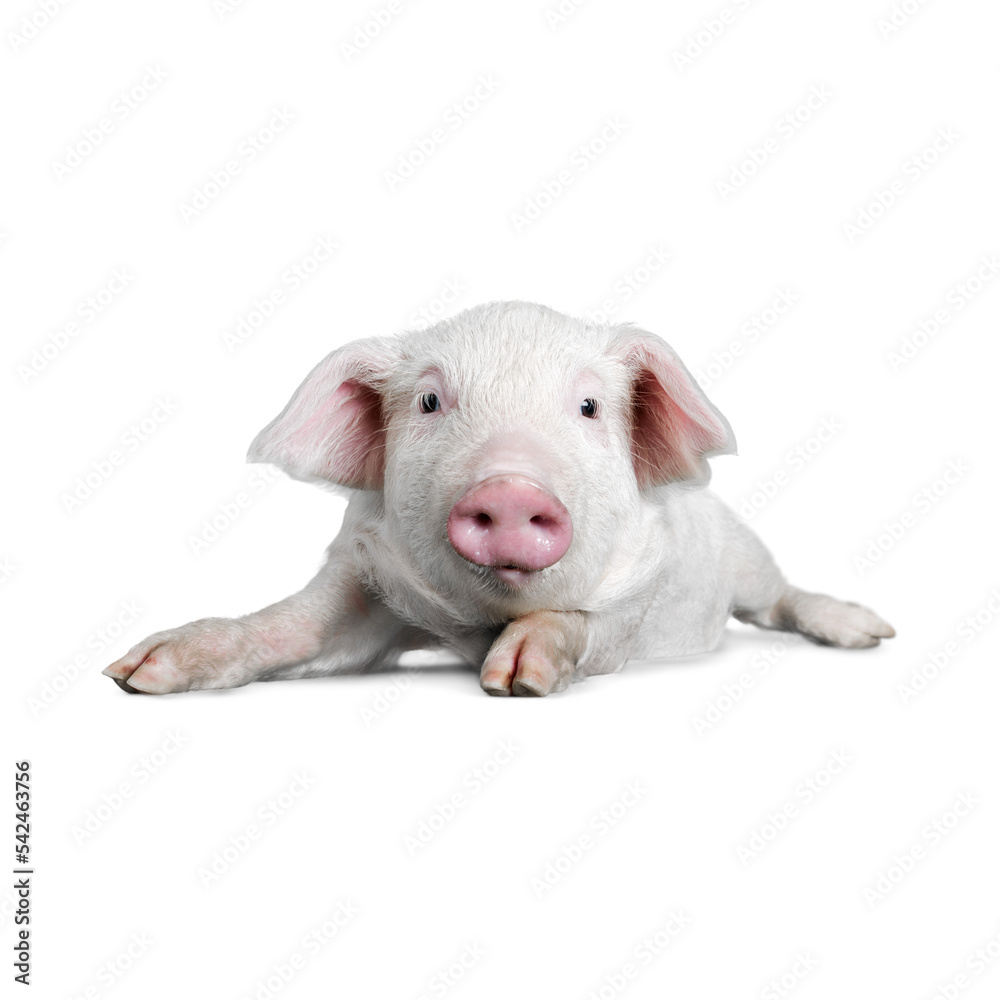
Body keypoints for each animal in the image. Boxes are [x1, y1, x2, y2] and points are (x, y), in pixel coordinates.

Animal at [103, 301, 894, 698]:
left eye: (588, 406)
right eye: (429, 401)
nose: (511, 488)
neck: (482, 622)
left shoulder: (639, 596)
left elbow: (582, 623)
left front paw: (516, 680)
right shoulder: (367, 576)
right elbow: (293, 627)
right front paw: (135, 672)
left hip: (746, 558)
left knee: (778, 598)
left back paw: (870, 632)